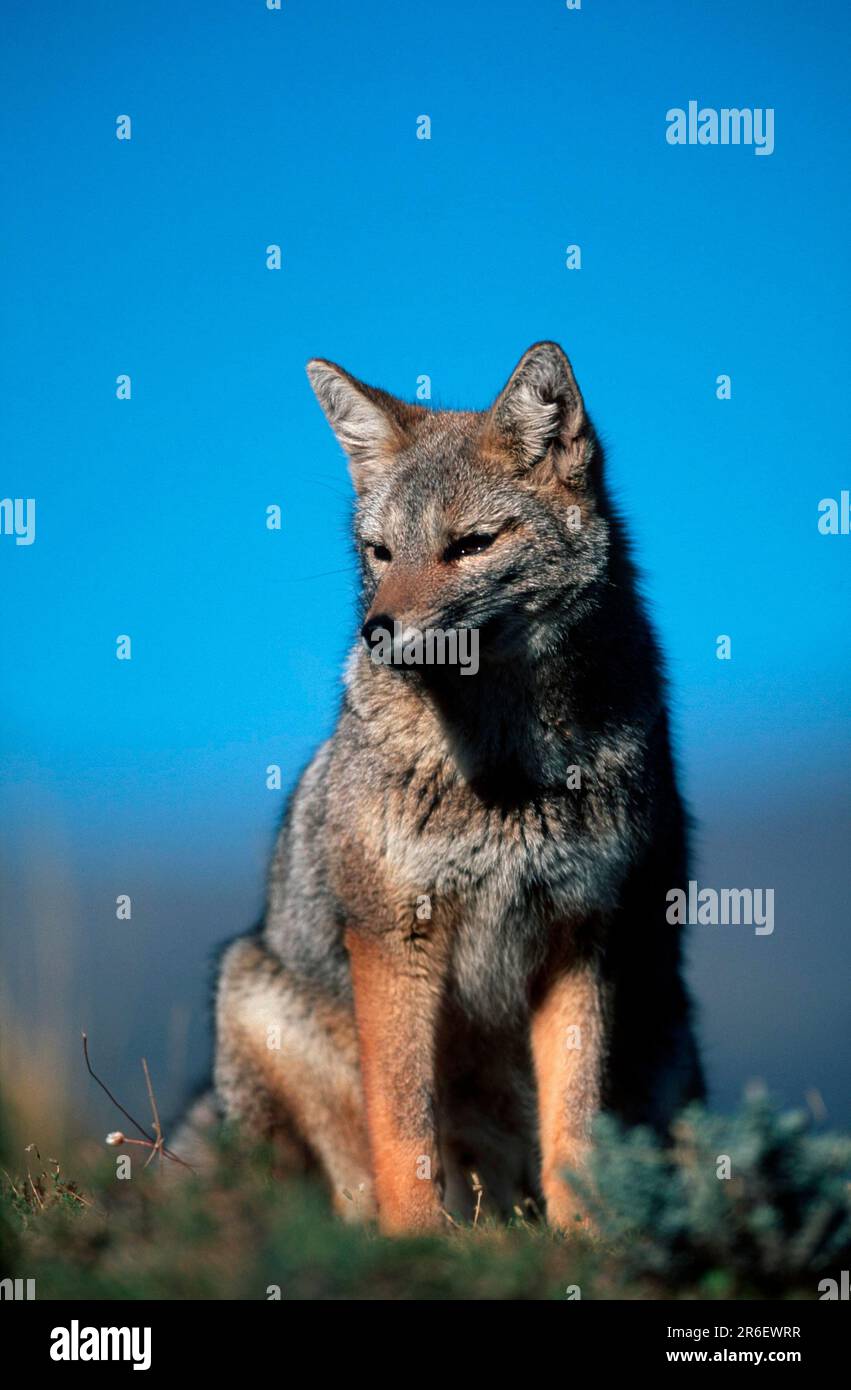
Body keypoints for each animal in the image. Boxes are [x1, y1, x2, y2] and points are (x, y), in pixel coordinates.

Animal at [178, 340, 704, 1233]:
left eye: (470, 544)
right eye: (380, 553)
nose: (376, 633)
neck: (504, 771)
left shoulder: (582, 939)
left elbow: (575, 1125)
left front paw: (586, 1241)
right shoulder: (393, 937)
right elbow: (402, 1123)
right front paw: (417, 1242)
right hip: (256, 996)